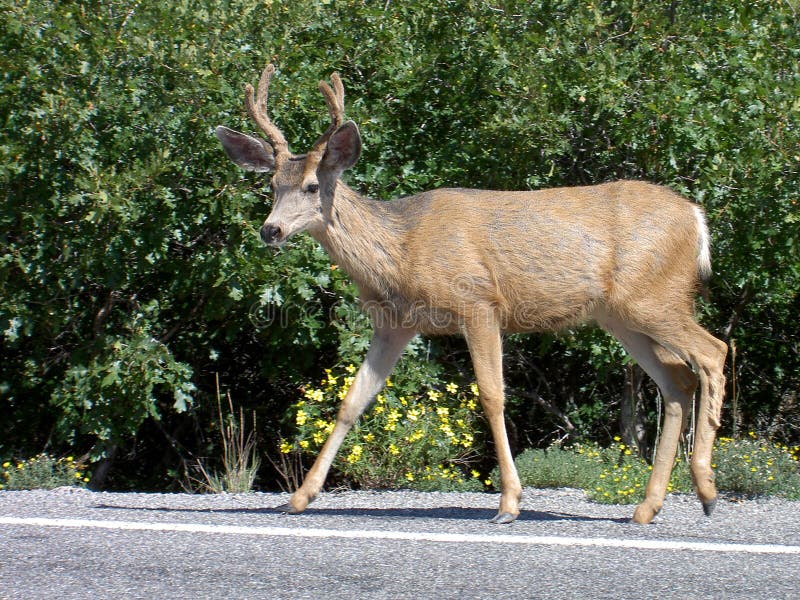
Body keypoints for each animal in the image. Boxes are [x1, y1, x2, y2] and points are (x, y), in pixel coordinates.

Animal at [215, 62, 728, 525]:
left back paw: (706, 489)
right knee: (677, 382)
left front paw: (509, 504)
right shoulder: (395, 324)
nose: (271, 230)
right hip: (621, 316)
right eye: (271, 184)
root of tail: (697, 218)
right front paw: (299, 498)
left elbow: (493, 396)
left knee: (713, 352)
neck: (401, 250)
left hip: (652, 297)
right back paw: (647, 507)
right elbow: (352, 401)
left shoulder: (478, 303)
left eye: (311, 186)